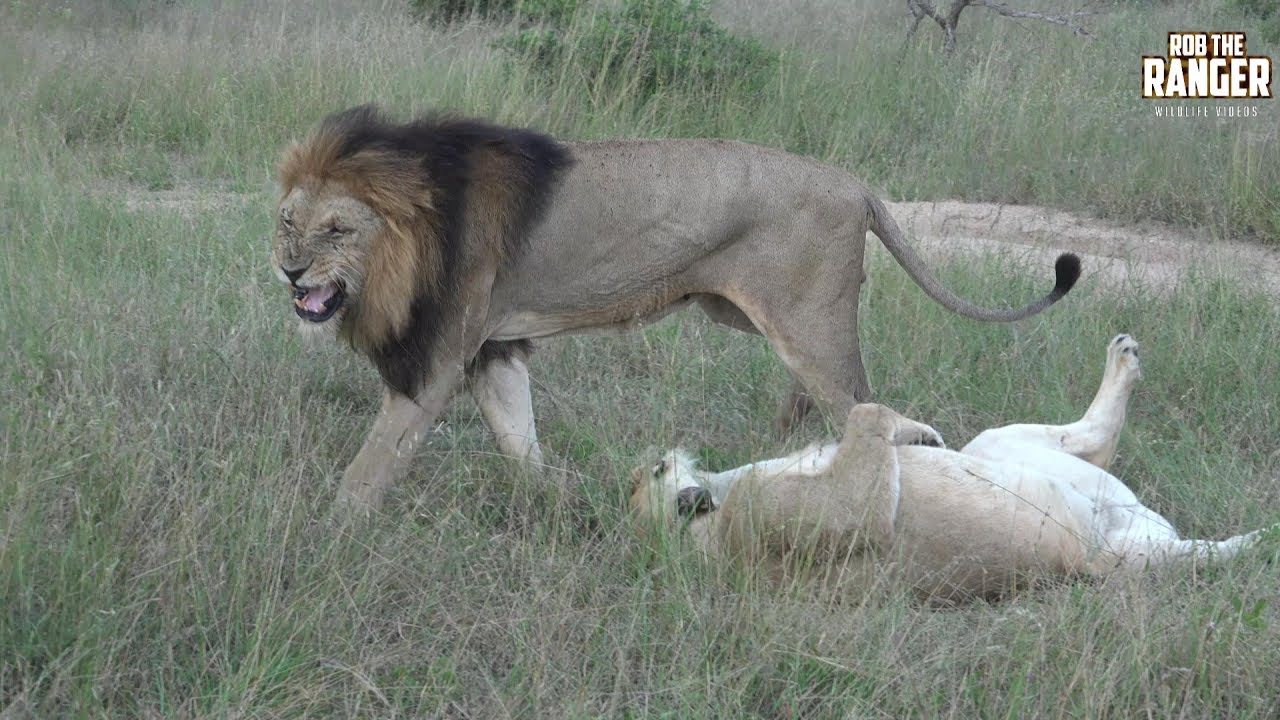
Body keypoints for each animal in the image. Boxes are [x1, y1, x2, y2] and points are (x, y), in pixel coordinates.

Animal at [272, 105, 1081, 511]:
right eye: (288, 220)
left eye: (338, 229)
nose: (290, 271)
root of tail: (858, 185)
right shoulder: (491, 350)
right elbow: (519, 438)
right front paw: (559, 503)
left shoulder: (437, 360)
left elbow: (372, 464)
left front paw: (332, 535)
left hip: (808, 326)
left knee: (867, 406)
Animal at [629, 335, 1275, 603]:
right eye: (658, 469)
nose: (661, 449)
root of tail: (1125, 517)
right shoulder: (815, 519)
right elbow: (862, 414)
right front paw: (898, 425)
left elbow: (862, 423)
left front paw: (917, 433)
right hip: (1130, 558)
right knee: (1212, 552)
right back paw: (1267, 538)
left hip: (1000, 447)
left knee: (1092, 438)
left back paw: (1123, 355)